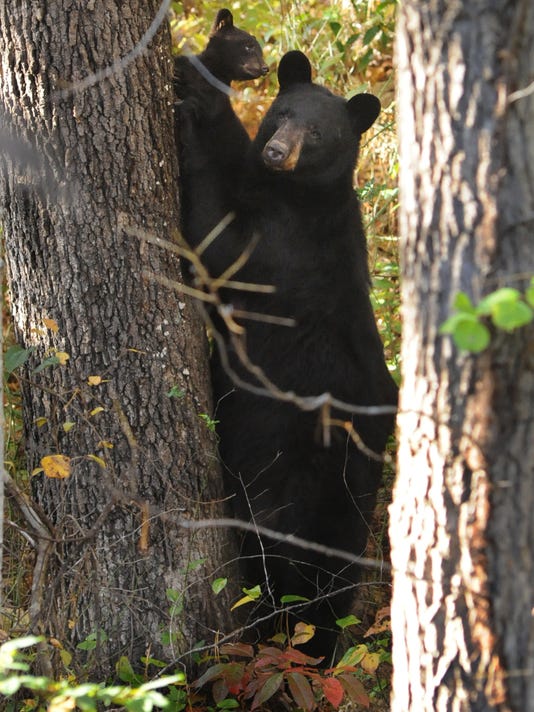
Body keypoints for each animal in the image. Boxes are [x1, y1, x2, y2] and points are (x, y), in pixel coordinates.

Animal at [199, 50, 398, 658]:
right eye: (282, 113)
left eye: (316, 133)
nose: (276, 152)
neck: (297, 194)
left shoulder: (285, 243)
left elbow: (217, 234)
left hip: (298, 474)